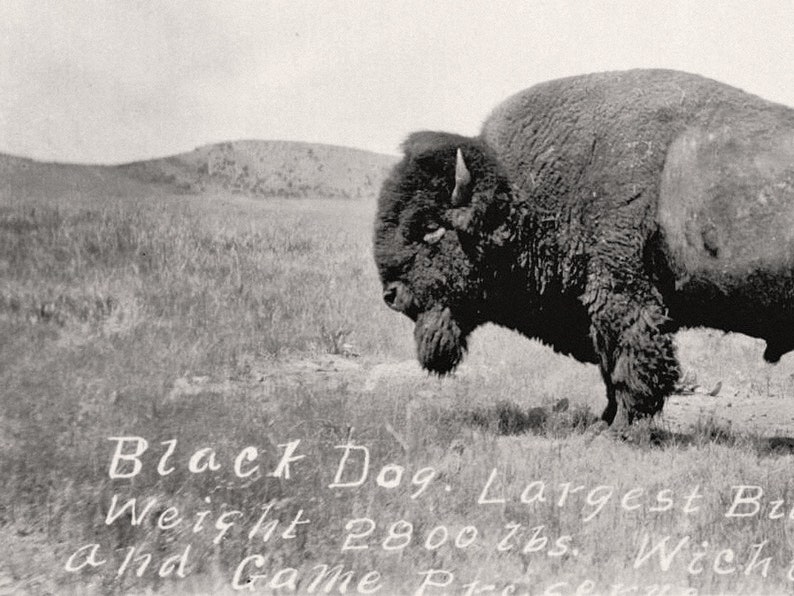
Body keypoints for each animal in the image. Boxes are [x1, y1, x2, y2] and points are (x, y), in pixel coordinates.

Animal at [373, 69, 794, 426]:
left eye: (430, 228)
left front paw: (622, 430)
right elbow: (609, 369)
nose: (392, 295)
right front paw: (601, 422)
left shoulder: (623, 297)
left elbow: (631, 364)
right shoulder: (596, 310)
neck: (518, 193)